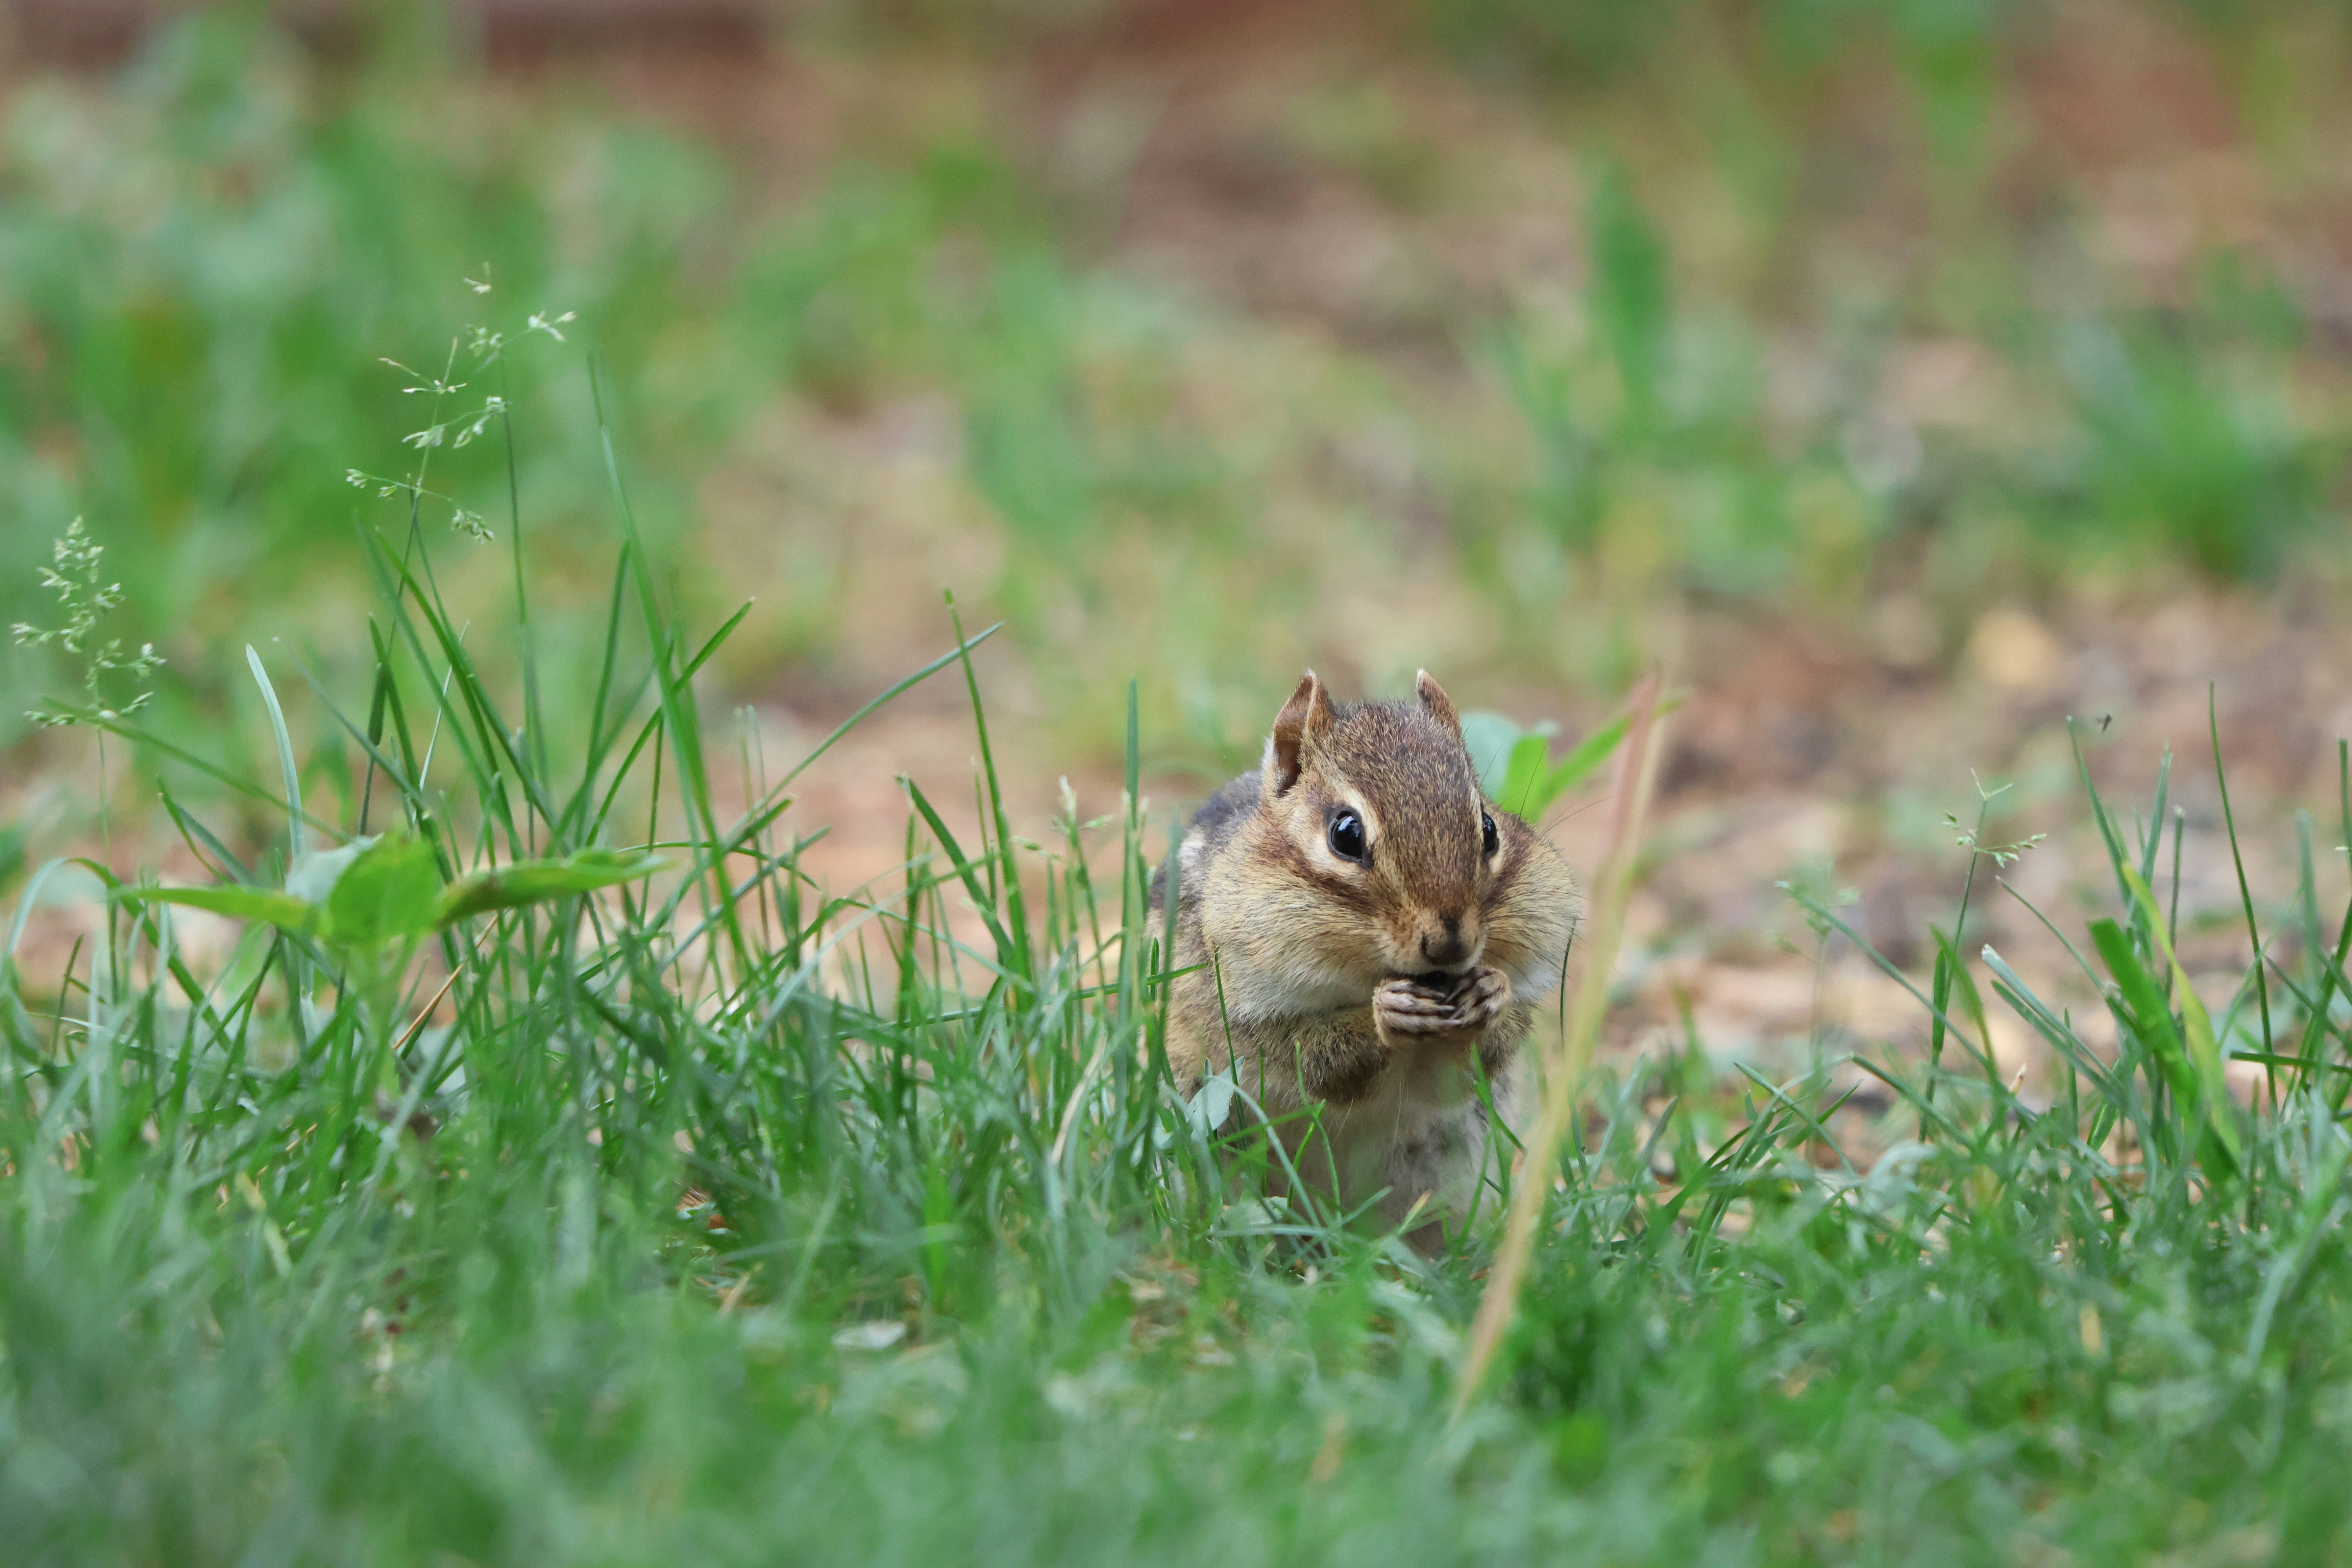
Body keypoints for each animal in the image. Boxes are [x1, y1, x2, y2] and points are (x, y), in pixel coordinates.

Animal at [1149, 670, 1583, 1247]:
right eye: (1346, 834)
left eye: (1489, 830)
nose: (1451, 943)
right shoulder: (1242, 1018)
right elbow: (1313, 1058)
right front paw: (1384, 1014)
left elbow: (1473, 1066)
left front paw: (1492, 995)